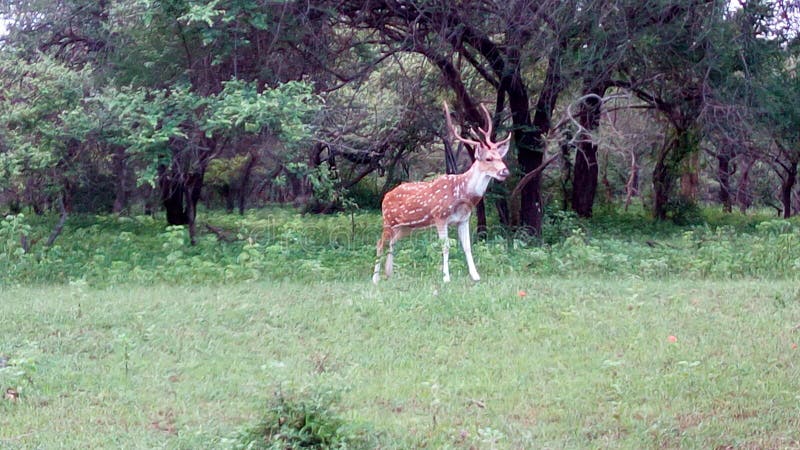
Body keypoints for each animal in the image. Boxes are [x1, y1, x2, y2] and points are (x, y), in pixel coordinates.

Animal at [372, 102, 511, 284]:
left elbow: (467, 246)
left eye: (500, 157)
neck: (462, 195)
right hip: (388, 219)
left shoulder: (464, 220)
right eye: (488, 158)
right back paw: (375, 278)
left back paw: (390, 274)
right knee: (380, 243)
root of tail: (385, 197)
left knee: (392, 242)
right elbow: (445, 246)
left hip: (406, 226)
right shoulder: (440, 216)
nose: (505, 171)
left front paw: (475, 276)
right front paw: (446, 277)